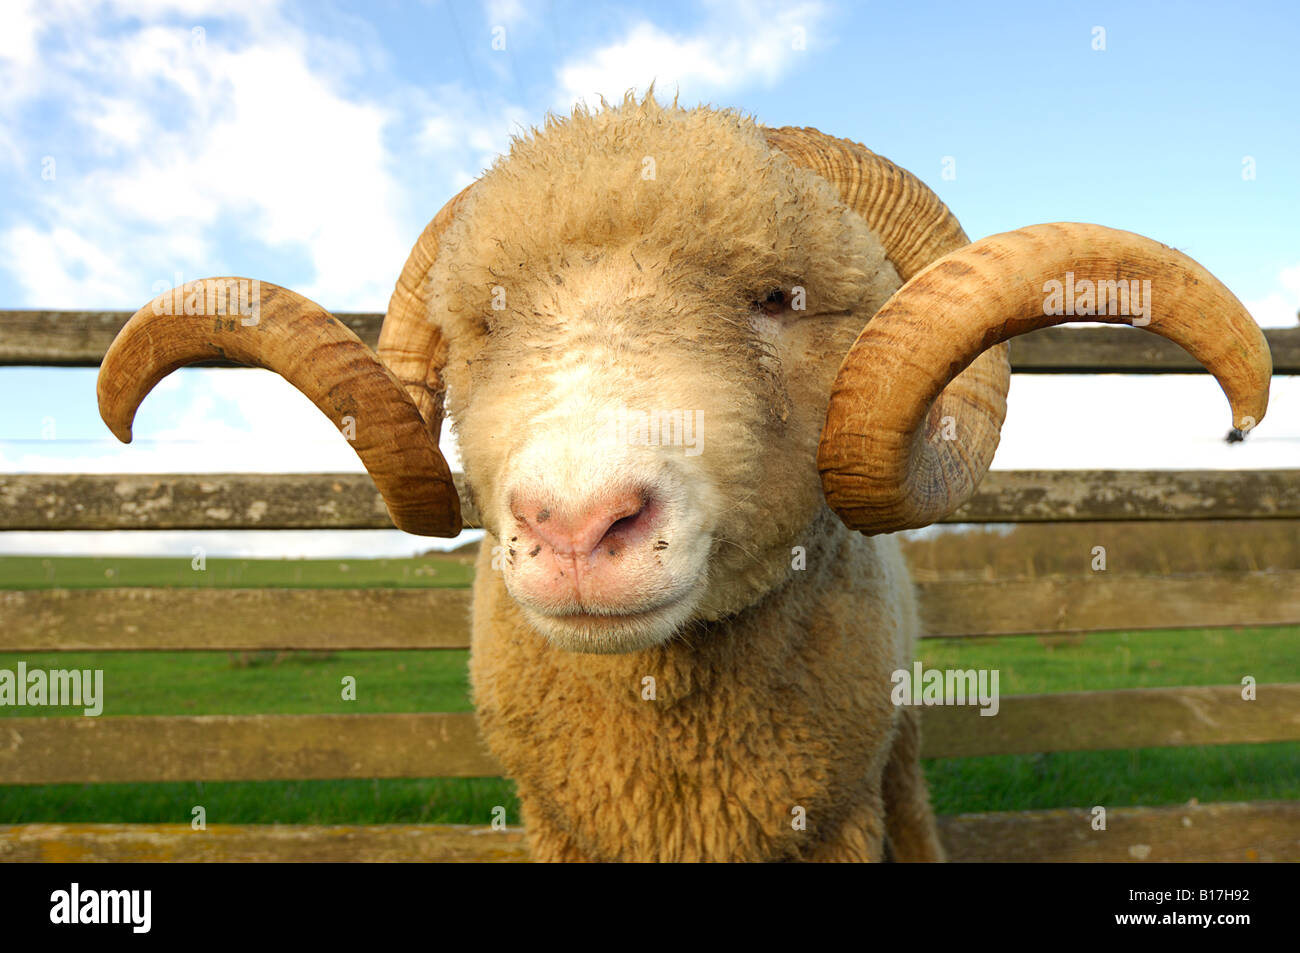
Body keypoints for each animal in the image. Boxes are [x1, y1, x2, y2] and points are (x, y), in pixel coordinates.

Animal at [98, 95, 1272, 862]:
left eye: (781, 297)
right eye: (484, 321)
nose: (576, 526)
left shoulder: (836, 818)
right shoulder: (559, 821)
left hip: (894, 750)